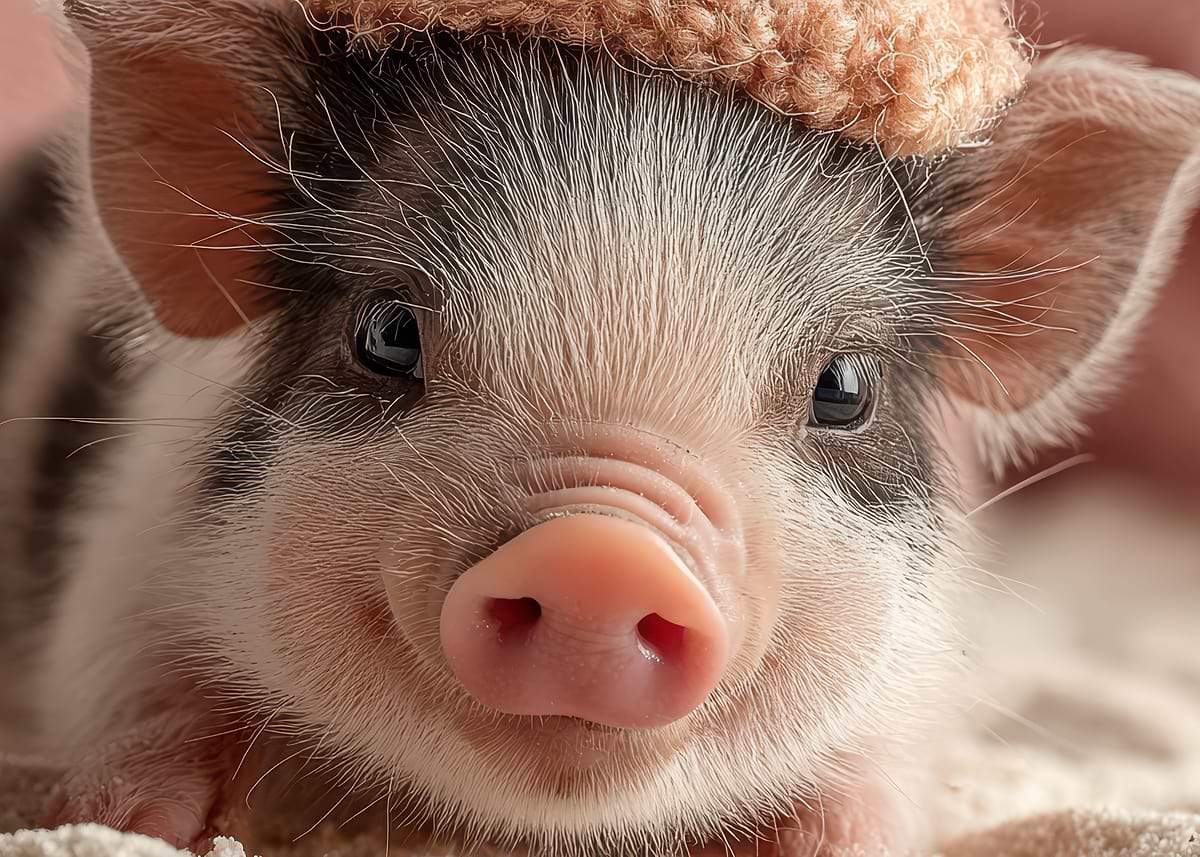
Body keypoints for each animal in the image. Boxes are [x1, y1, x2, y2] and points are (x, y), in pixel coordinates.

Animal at [2, 0, 1199, 854]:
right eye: (387, 333)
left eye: (844, 388)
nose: (601, 554)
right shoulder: (126, 553)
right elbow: (133, 700)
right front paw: (137, 815)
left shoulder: (915, 681)